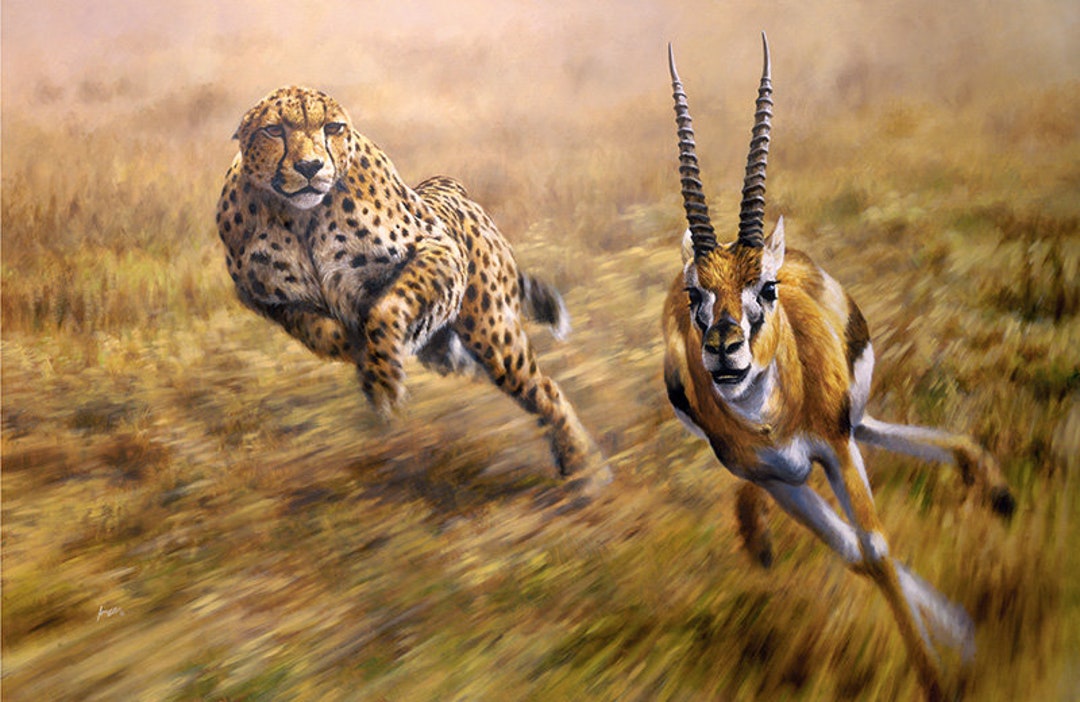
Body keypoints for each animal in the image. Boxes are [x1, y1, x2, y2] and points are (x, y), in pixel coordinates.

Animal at [216, 85, 611, 493]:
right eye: (274, 130)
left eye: (333, 128)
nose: (309, 166)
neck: (302, 217)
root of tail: (448, 185)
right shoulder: (272, 300)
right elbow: (323, 332)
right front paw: (362, 357)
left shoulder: (439, 250)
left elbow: (389, 306)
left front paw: (383, 379)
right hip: (447, 350)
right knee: (464, 361)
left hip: (492, 330)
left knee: (542, 389)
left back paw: (585, 471)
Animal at [662, 34, 1015, 699]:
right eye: (696, 294)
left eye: (766, 288)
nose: (723, 349)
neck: (769, 422)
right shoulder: (778, 479)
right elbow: (856, 552)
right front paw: (955, 652)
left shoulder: (833, 448)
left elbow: (874, 546)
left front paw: (939, 677)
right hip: (822, 454)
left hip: (846, 430)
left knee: (878, 439)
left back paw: (998, 497)